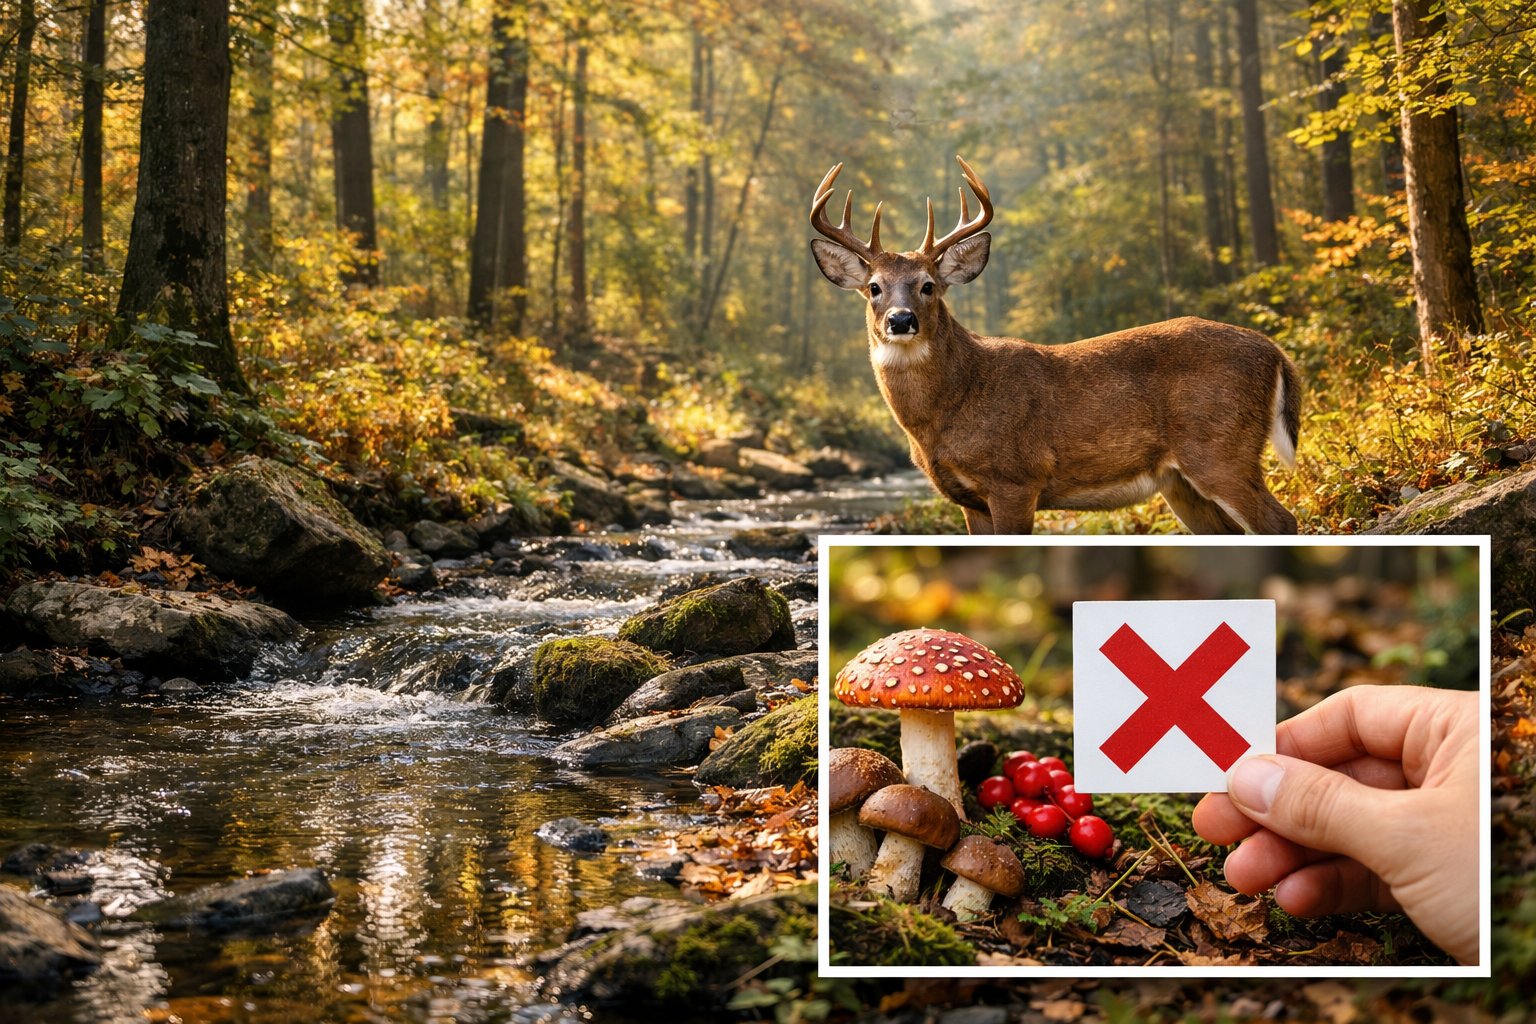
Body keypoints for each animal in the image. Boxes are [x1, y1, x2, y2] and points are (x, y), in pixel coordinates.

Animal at [809, 156, 1301, 534]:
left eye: (928, 285)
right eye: (874, 287)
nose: (901, 319)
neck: (950, 409)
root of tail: (1276, 353)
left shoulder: (1016, 478)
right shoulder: (970, 499)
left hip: (1221, 448)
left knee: (1280, 521)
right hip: (1180, 482)